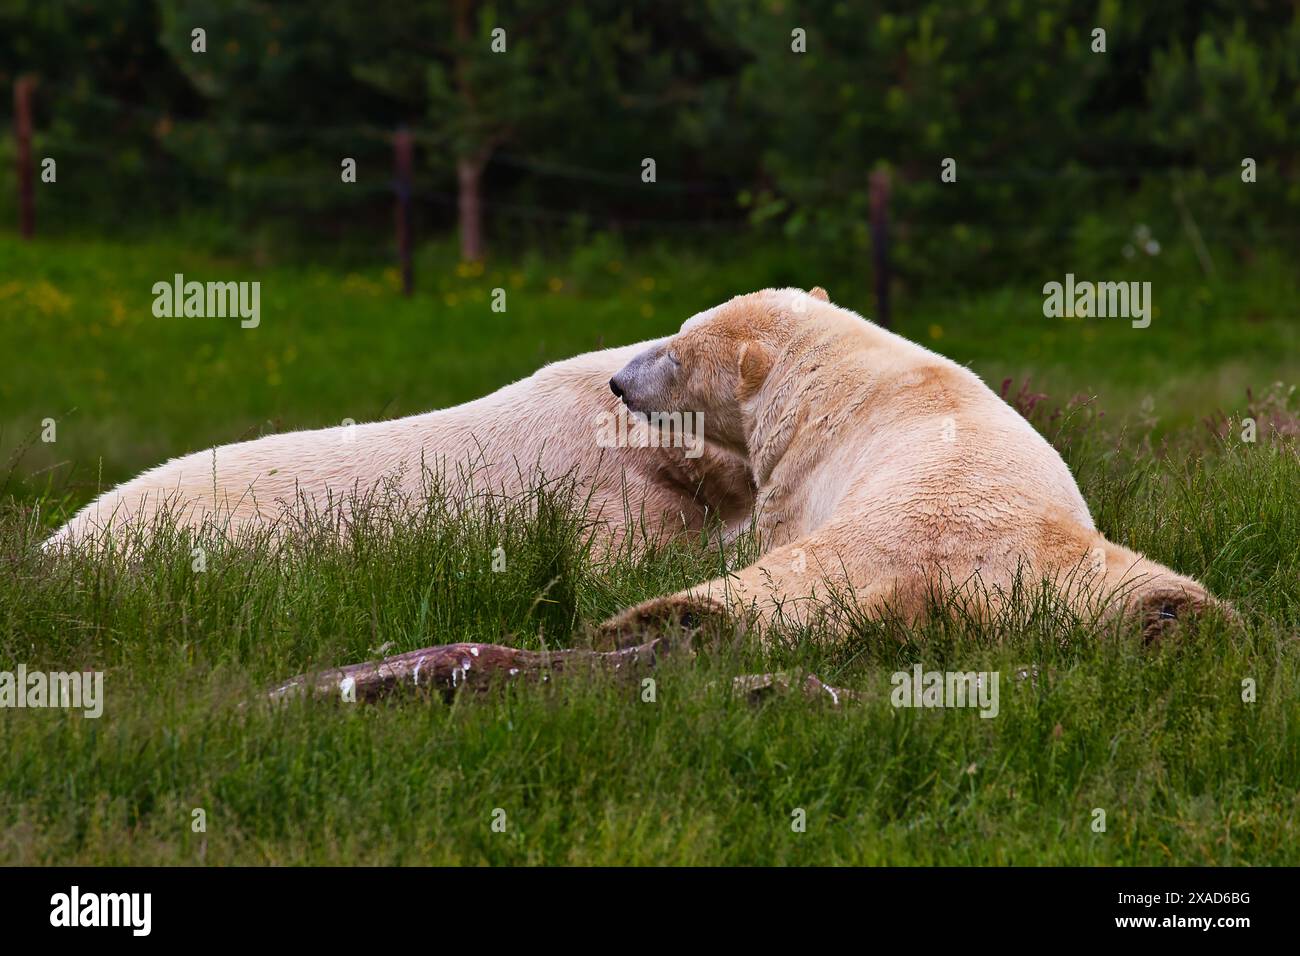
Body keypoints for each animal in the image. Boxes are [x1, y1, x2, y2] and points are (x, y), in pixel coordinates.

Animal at [599, 288, 1234, 645]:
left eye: (674, 352)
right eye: (677, 331)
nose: (619, 383)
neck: (830, 363)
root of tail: (932, 586)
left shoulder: (799, 475)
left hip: (840, 559)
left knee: (757, 593)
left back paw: (659, 622)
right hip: (1063, 569)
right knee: (1142, 587)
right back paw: (1177, 620)